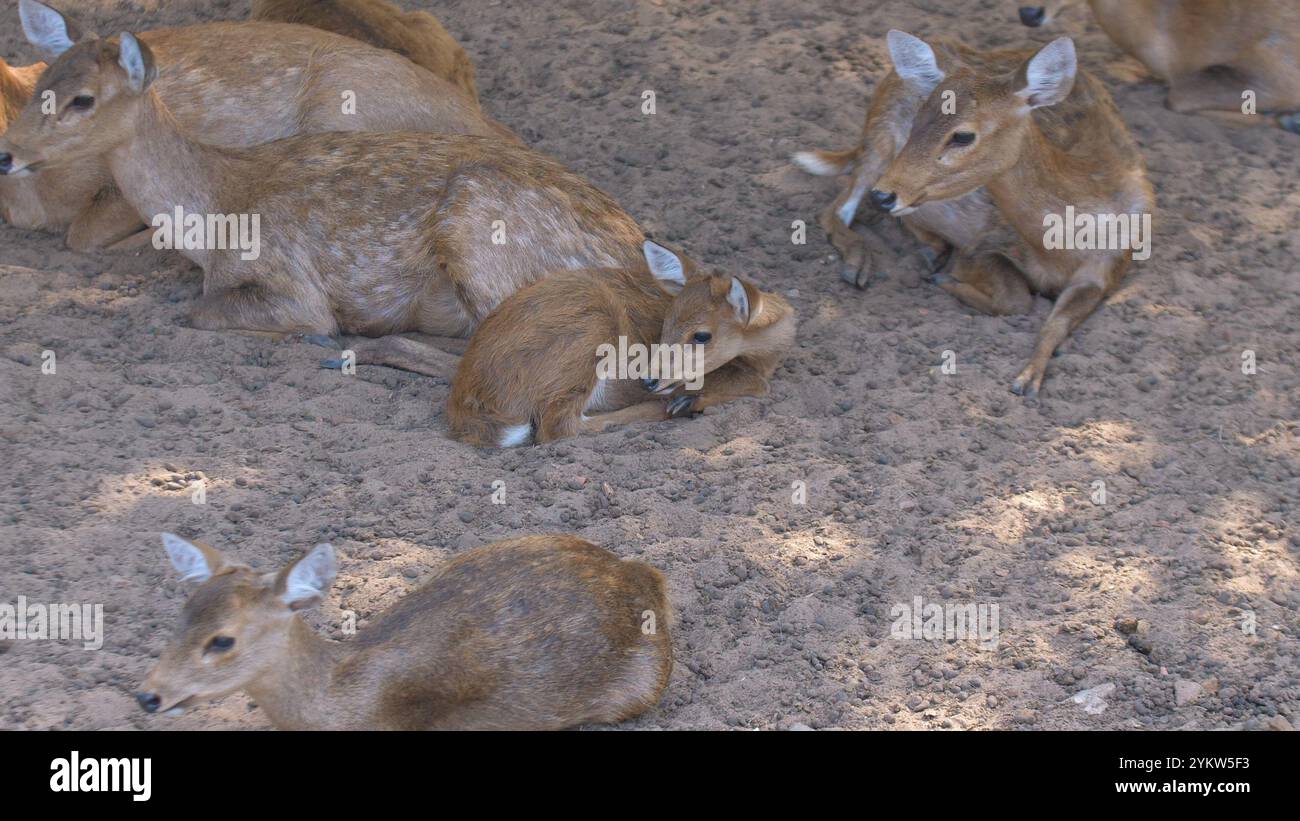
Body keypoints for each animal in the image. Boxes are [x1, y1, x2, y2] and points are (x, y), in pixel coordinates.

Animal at [444, 241, 796, 447]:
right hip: (592, 329)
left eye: (701, 335)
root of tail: (466, 402)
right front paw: (685, 401)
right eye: (667, 322)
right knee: (559, 425)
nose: (648, 379)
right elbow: (756, 384)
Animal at [794, 32, 1154, 399]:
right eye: (917, 121)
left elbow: (1056, 322)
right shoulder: (983, 245)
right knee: (837, 206)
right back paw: (865, 263)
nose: (884, 194)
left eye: (963, 135)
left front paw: (1028, 380)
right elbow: (1016, 298)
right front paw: (948, 281)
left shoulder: (1109, 268)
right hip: (879, 136)